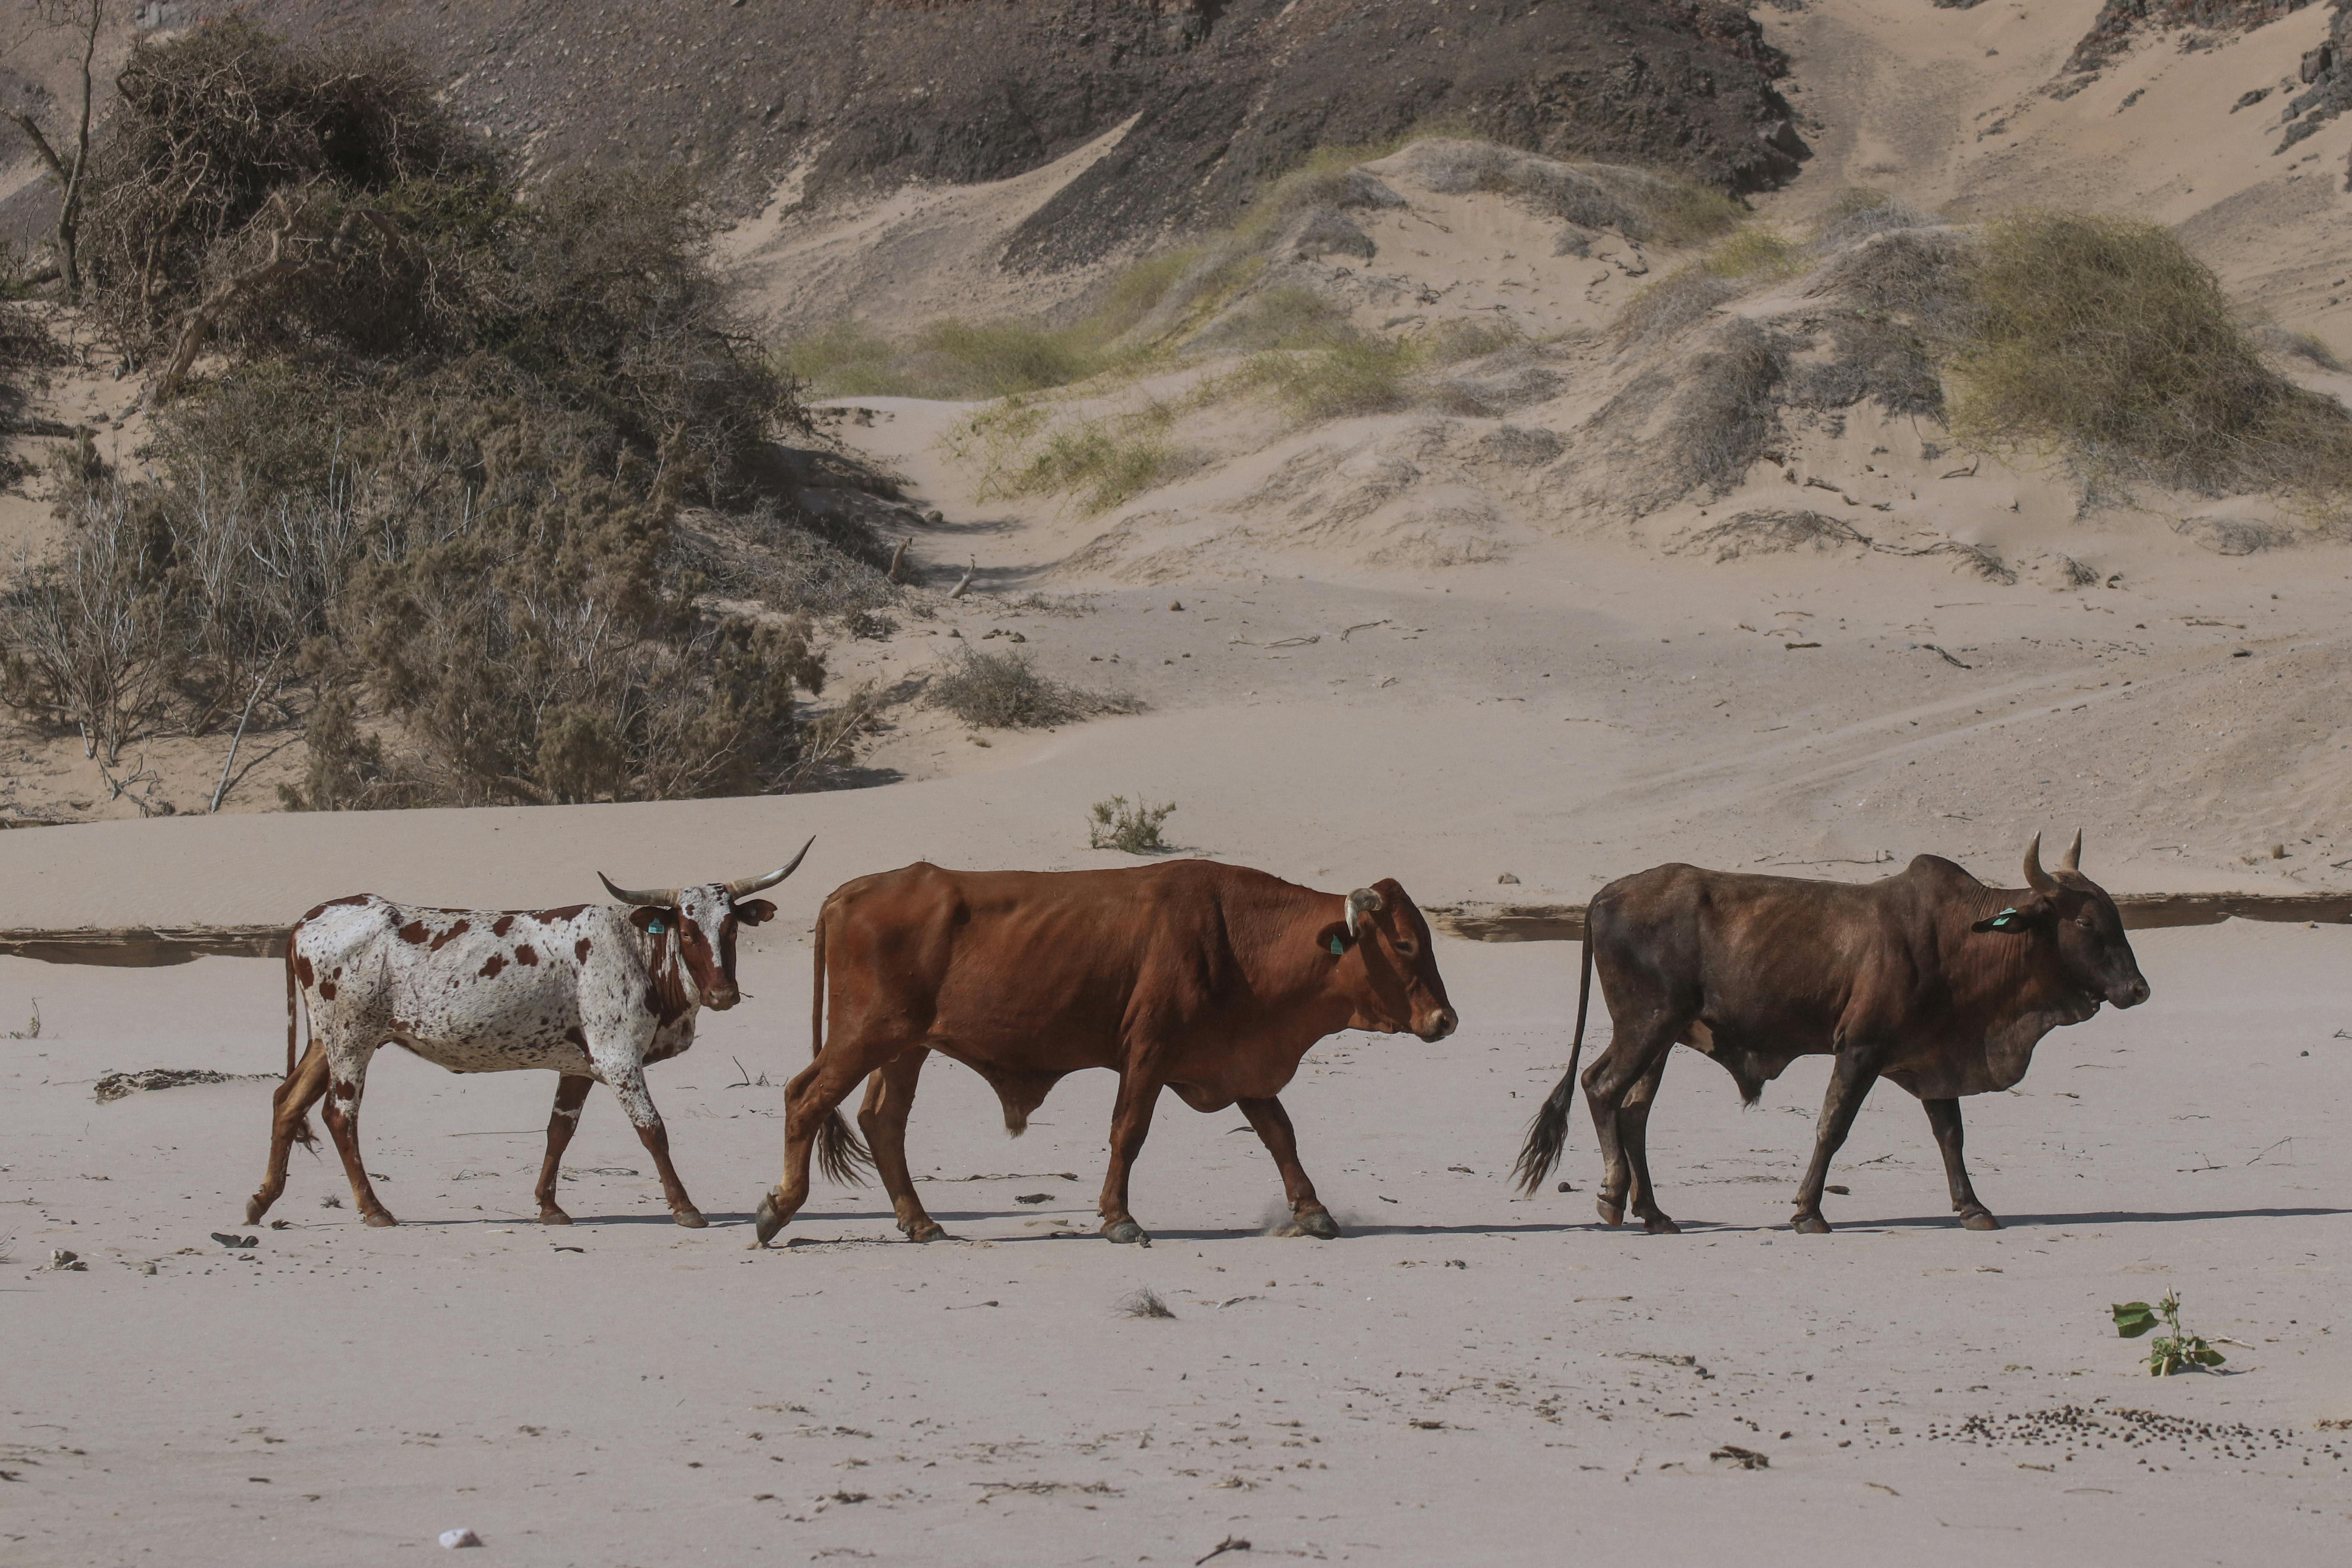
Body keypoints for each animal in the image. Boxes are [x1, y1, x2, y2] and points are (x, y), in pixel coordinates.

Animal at [243, 841, 813, 1231]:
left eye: (731, 929)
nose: (723, 994)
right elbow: (653, 1131)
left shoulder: (579, 1065)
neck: (636, 947)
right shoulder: (618, 1059)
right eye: (689, 930)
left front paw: (549, 1205)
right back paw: (373, 1208)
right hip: (351, 1041)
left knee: (286, 1101)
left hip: (327, 1041)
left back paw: (262, 1200)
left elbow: (559, 1132)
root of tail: (313, 917)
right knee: (340, 1116)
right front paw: (685, 1206)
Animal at [748, 859, 1460, 1248]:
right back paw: (777, 1208)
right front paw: (1118, 1218)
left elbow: (1280, 1135)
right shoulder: (1147, 1052)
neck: (1238, 935)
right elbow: (1128, 1132)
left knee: (883, 1121)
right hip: (865, 1035)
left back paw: (919, 1222)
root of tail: (851, 890)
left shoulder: (1240, 1065)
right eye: (1402, 944)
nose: (1445, 1019)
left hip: (904, 1047)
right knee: (805, 1097)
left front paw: (1312, 1211)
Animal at [1512, 832, 2149, 1235]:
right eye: (2085, 922)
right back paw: (1611, 1196)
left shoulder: (1930, 1057)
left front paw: (1971, 1207)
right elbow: (1832, 1127)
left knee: (1634, 1111)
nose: (2138, 988)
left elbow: (1951, 1135)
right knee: (1600, 1088)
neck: (1961, 938)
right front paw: (1806, 1211)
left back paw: (1654, 1213)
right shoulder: (1860, 1049)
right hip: (1646, 1024)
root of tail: (1607, 893)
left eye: (2115, 916)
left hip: (1661, 1039)